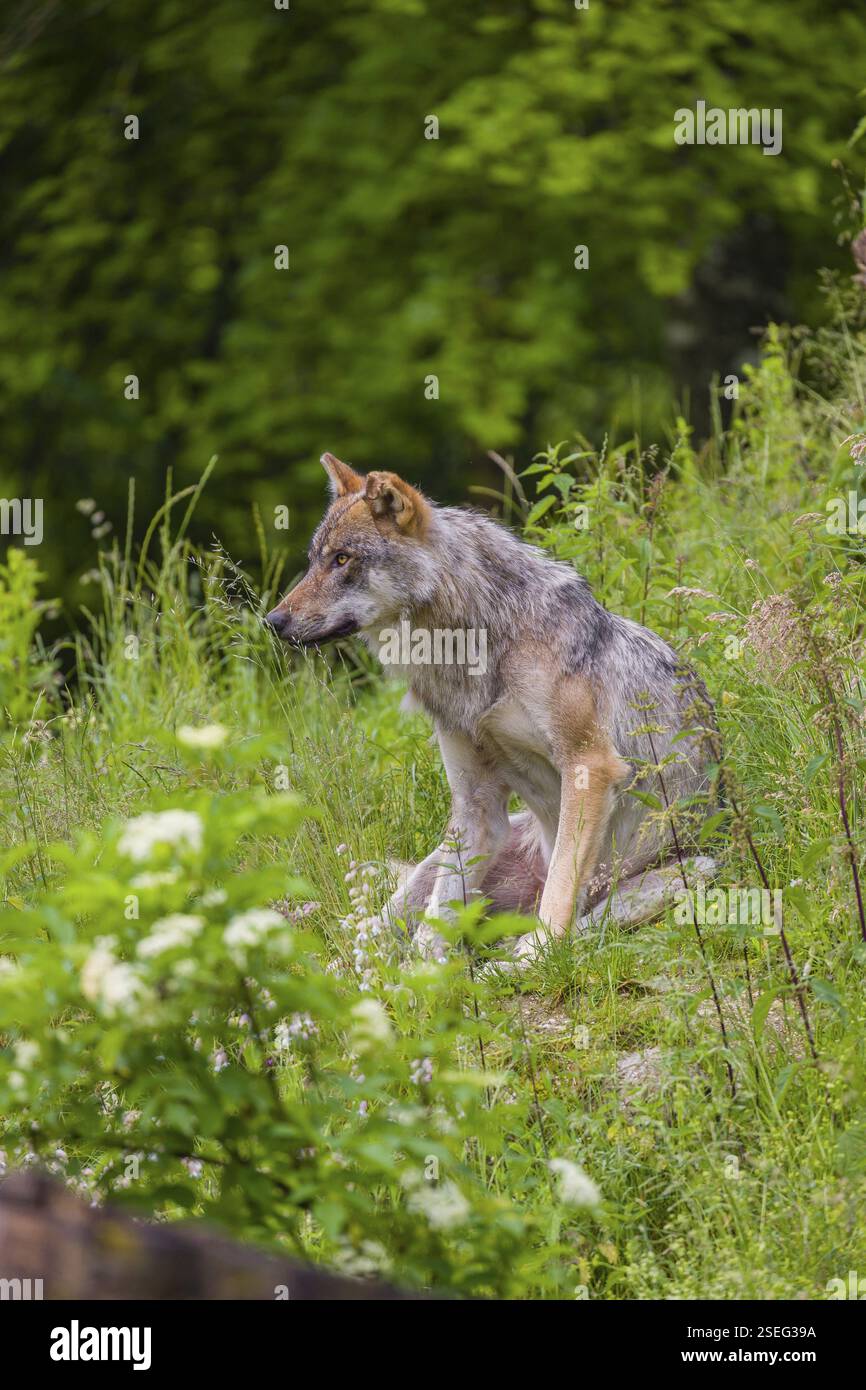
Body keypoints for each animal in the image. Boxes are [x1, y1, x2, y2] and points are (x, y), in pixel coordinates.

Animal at [266, 453, 718, 962]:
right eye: (312, 561)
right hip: (437, 864)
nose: (272, 621)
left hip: (694, 870)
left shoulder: (591, 766)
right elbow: (435, 927)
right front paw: (426, 979)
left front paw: (540, 952)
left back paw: (512, 960)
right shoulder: (476, 804)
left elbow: (560, 892)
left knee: (578, 922)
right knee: (374, 940)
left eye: (342, 559)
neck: (477, 645)